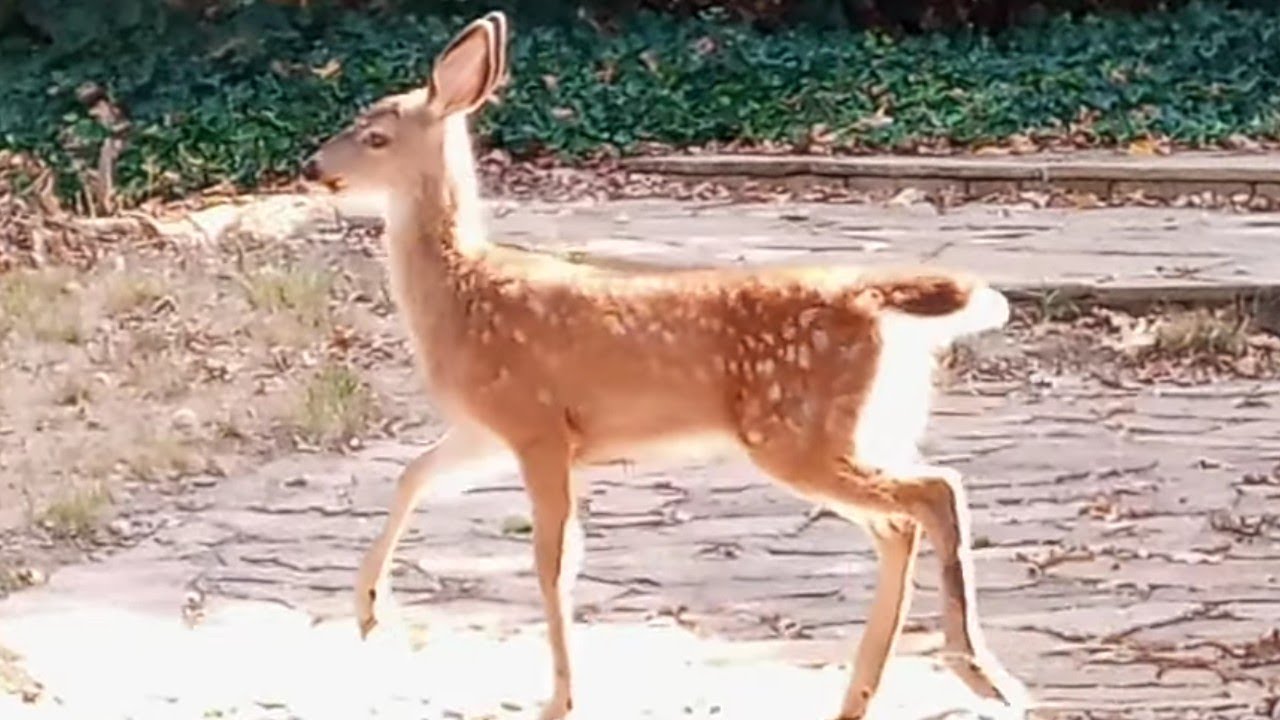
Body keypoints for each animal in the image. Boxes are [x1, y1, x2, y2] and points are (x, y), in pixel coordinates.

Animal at [300, 11, 1027, 720]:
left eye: (375, 136)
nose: (310, 166)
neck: (465, 293)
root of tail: (875, 301)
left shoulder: (537, 422)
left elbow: (552, 561)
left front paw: (560, 699)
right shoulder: (489, 428)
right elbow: (412, 475)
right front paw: (368, 610)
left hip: (798, 429)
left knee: (932, 494)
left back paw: (979, 673)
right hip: (860, 427)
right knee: (901, 521)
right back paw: (866, 696)